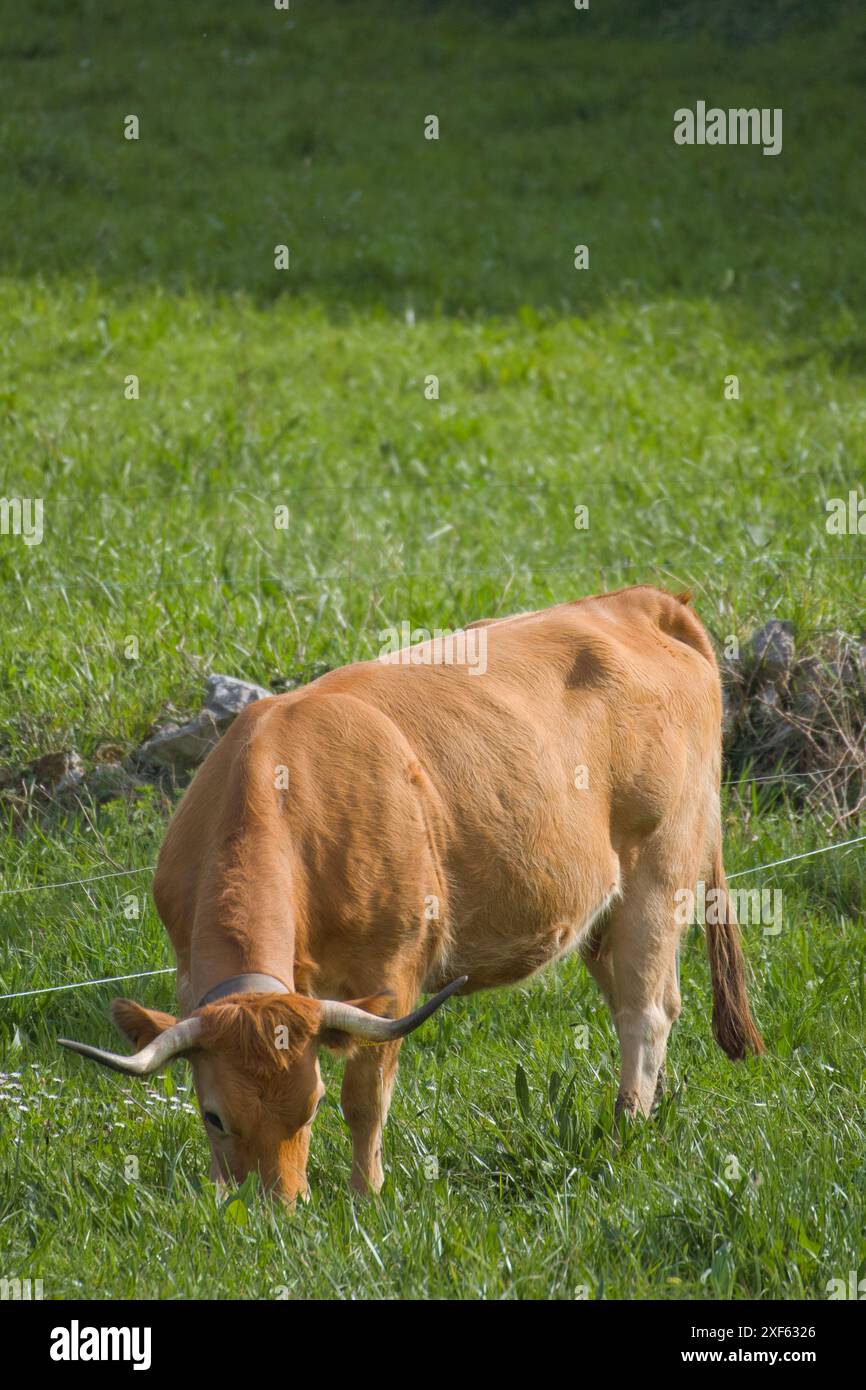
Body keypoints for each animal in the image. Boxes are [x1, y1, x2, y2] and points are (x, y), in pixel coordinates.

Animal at [60, 585, 763, 1201]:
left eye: (310, 1105)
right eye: (214, 1116)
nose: (277, 1209)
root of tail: (638, 601)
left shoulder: (392, 971)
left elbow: (366, 1096)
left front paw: (365, 1195)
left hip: (661, 870)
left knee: (646, 1012)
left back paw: (626, 1129)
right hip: (601, 909)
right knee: (639, 1003)